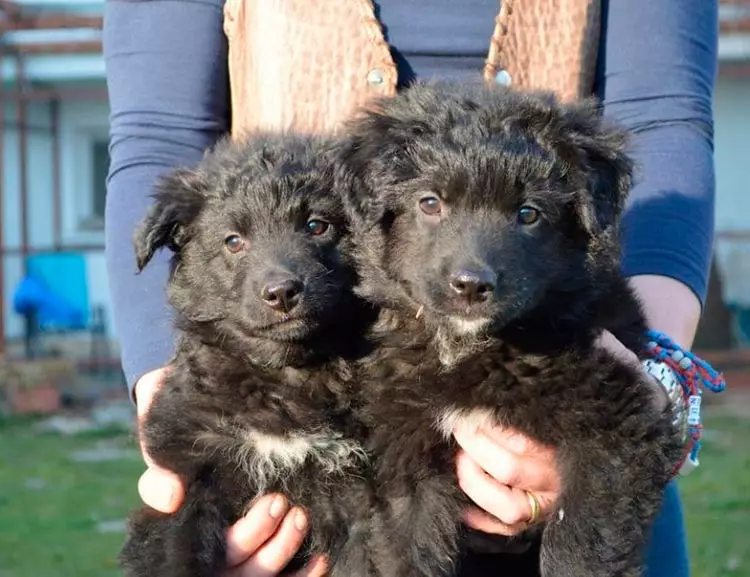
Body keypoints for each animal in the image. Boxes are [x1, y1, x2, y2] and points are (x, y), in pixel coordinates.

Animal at [124, 134, 382, 576]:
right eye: (233, 241)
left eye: (317, 225)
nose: (281, 292)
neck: (284, 380)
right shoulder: (186, 476)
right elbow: (177, 551)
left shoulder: (363, 497)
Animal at [338, 83, 684, 576]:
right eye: (430, 203)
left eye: (528, 213)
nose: (471, 284)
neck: (469, 350)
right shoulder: (404, 451)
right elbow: (407, 548)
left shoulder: (615, 430)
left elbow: (579, 543)